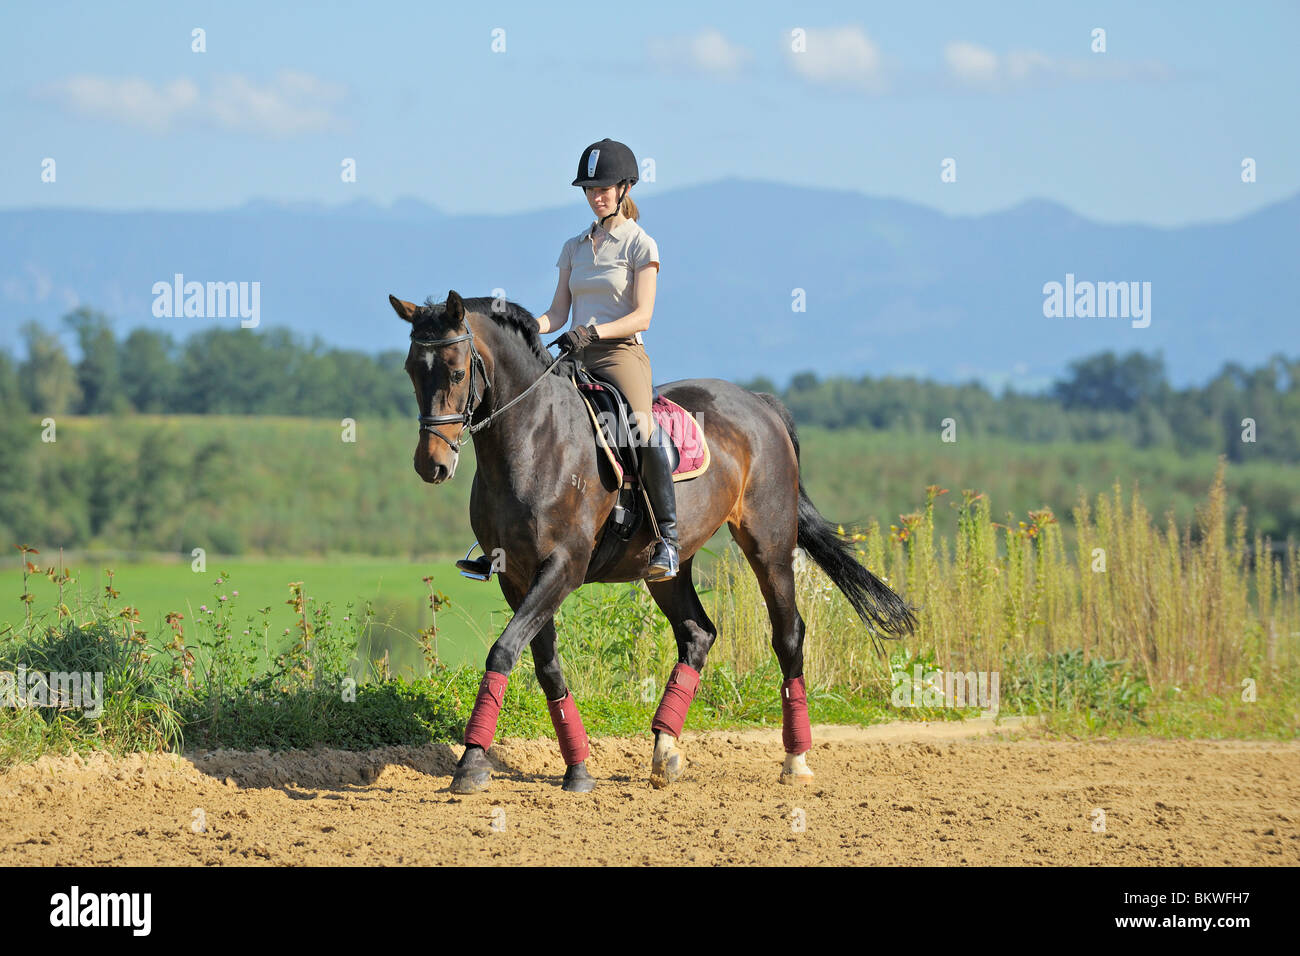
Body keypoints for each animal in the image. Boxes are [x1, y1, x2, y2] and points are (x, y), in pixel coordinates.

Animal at [391, 290, 916, 793]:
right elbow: (546, 666)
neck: (532, 440)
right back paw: (665, 751)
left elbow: (503, 651)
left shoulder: (563, 567)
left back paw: (795, 761)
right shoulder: (515, 577)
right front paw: (577, 769)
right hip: (667, 567)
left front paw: (471, 763)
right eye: (412, 370)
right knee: (697, 633)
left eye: (457, 371)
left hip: (768, 543)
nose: (430, 464)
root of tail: (758, 402)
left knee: (787, 636)